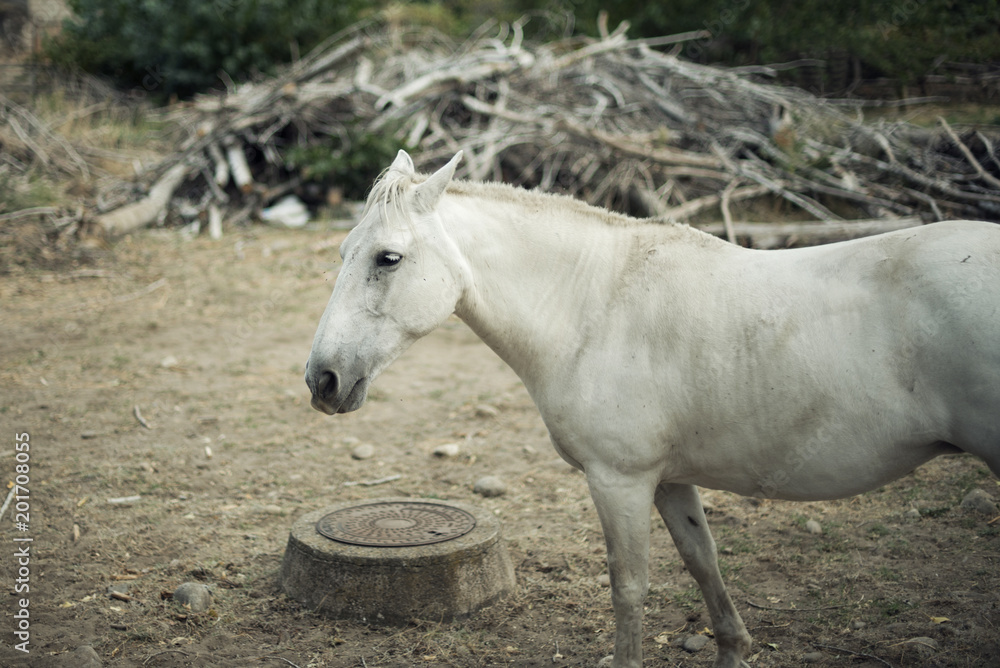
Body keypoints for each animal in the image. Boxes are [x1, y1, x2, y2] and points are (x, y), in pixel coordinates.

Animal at [305, 150, 1000, 668]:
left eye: (388, 258)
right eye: (342, 254)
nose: (322, 379)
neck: (596, 302)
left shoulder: (620, 481)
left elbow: (629, 587)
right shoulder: (669, 481)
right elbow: (702, 561)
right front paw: (733, 649)